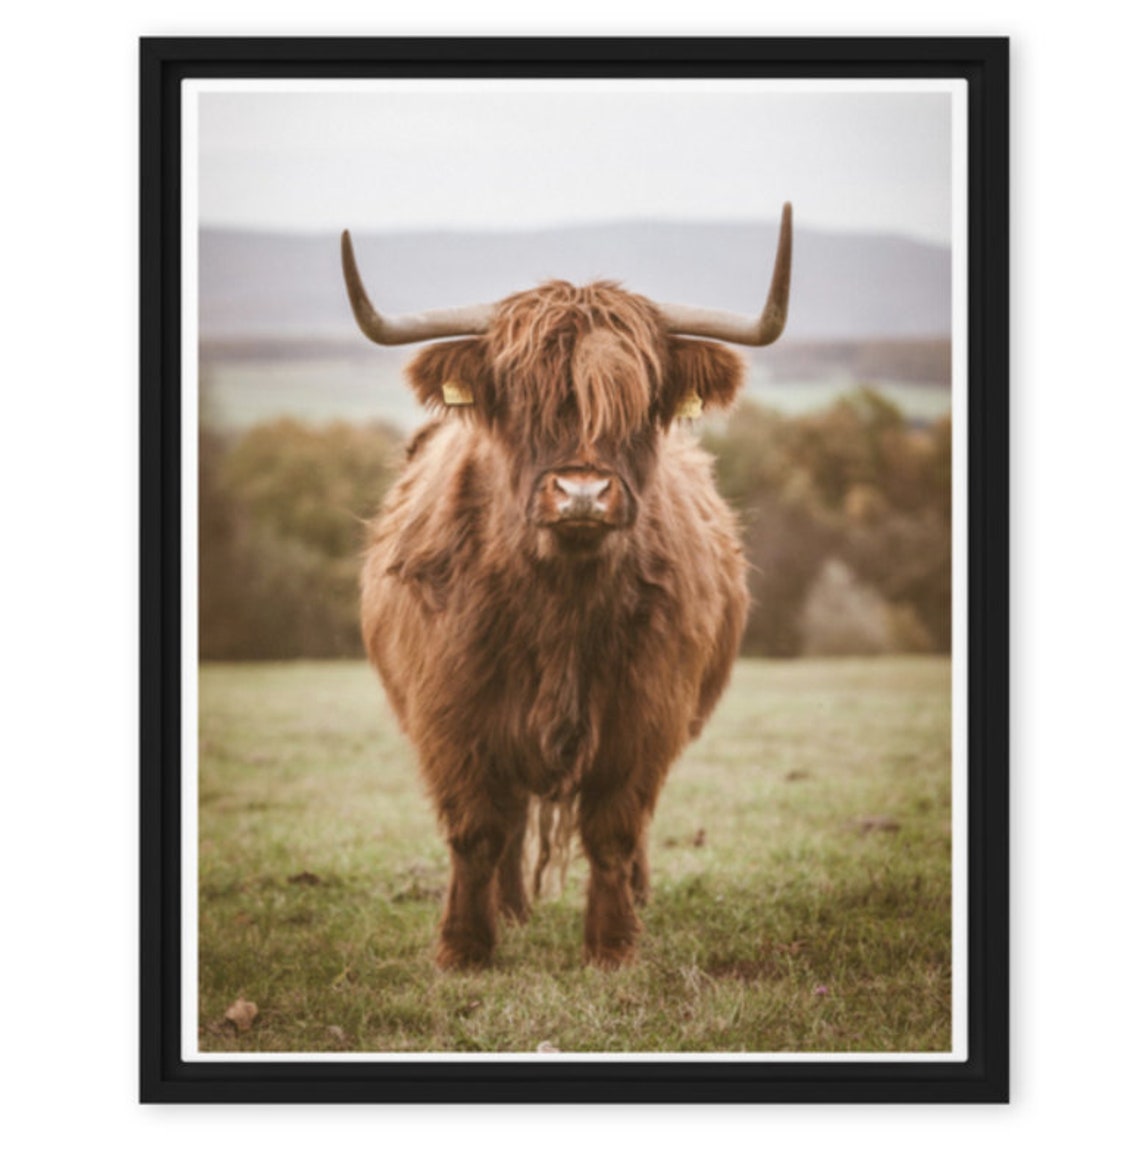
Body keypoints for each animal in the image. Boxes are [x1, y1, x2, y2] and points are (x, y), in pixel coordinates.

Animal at [341, 205, 792, 969]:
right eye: (518, 399)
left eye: (638, 403)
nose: (582, 492)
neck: (559, 603)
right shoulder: (452, 713)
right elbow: (476, 831)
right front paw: (465, 947)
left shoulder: (646, 713)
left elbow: (614, 829)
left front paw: (612, 945)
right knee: (512, 819)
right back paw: (510, 909)